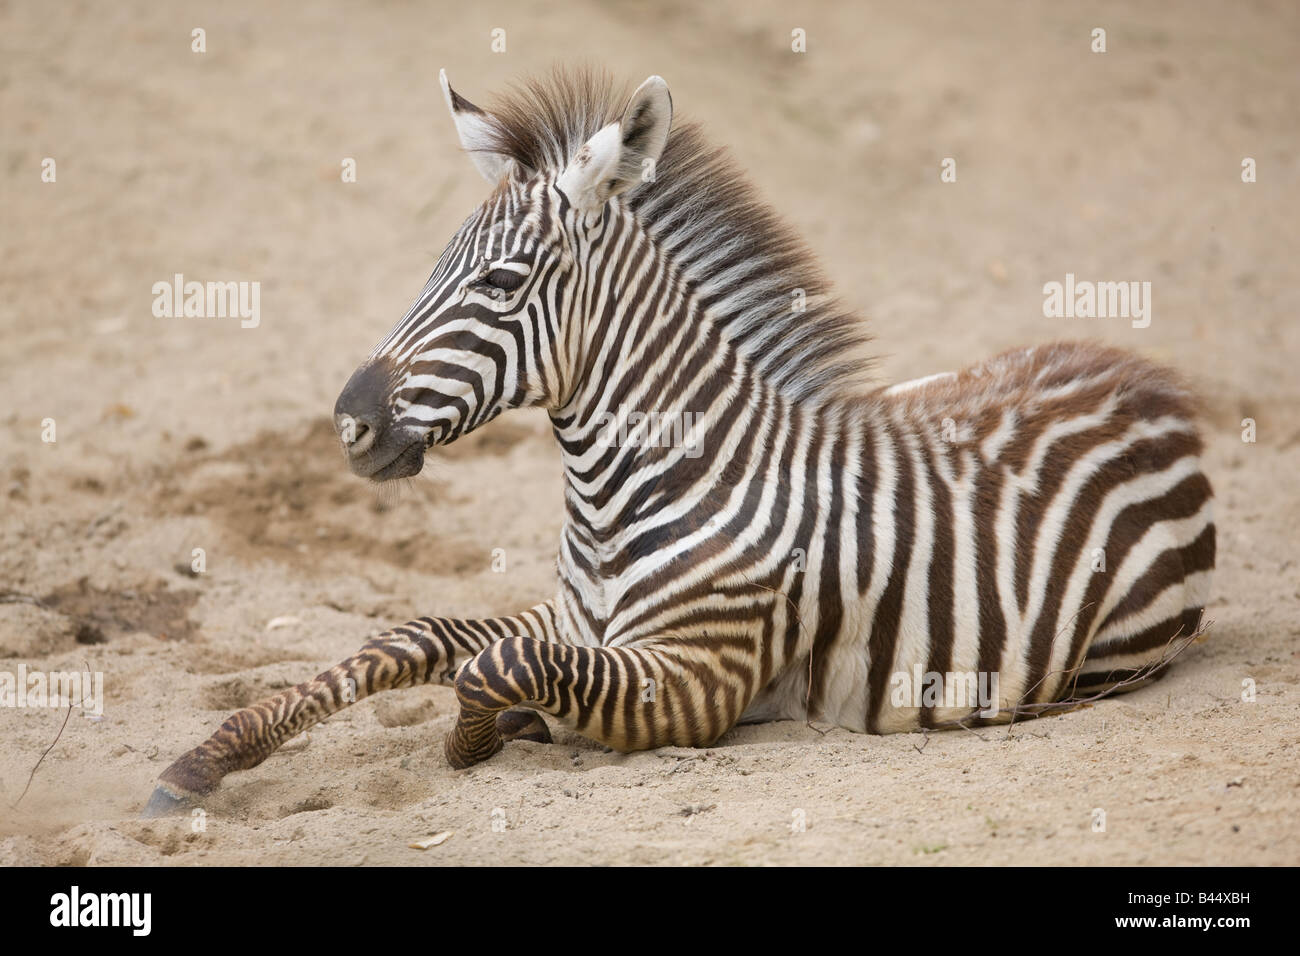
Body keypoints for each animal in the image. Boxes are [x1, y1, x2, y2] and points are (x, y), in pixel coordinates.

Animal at [143, 68, 1215, 815]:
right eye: (432, 268)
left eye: (499, 282)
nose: (351, 423)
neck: (630, 491)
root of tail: (1148, 378)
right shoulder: (575, 622)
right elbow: (413, 638)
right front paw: (205, 759)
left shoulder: (697, 682)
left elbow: (494, 668)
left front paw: (480, 741)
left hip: (1109, 659)